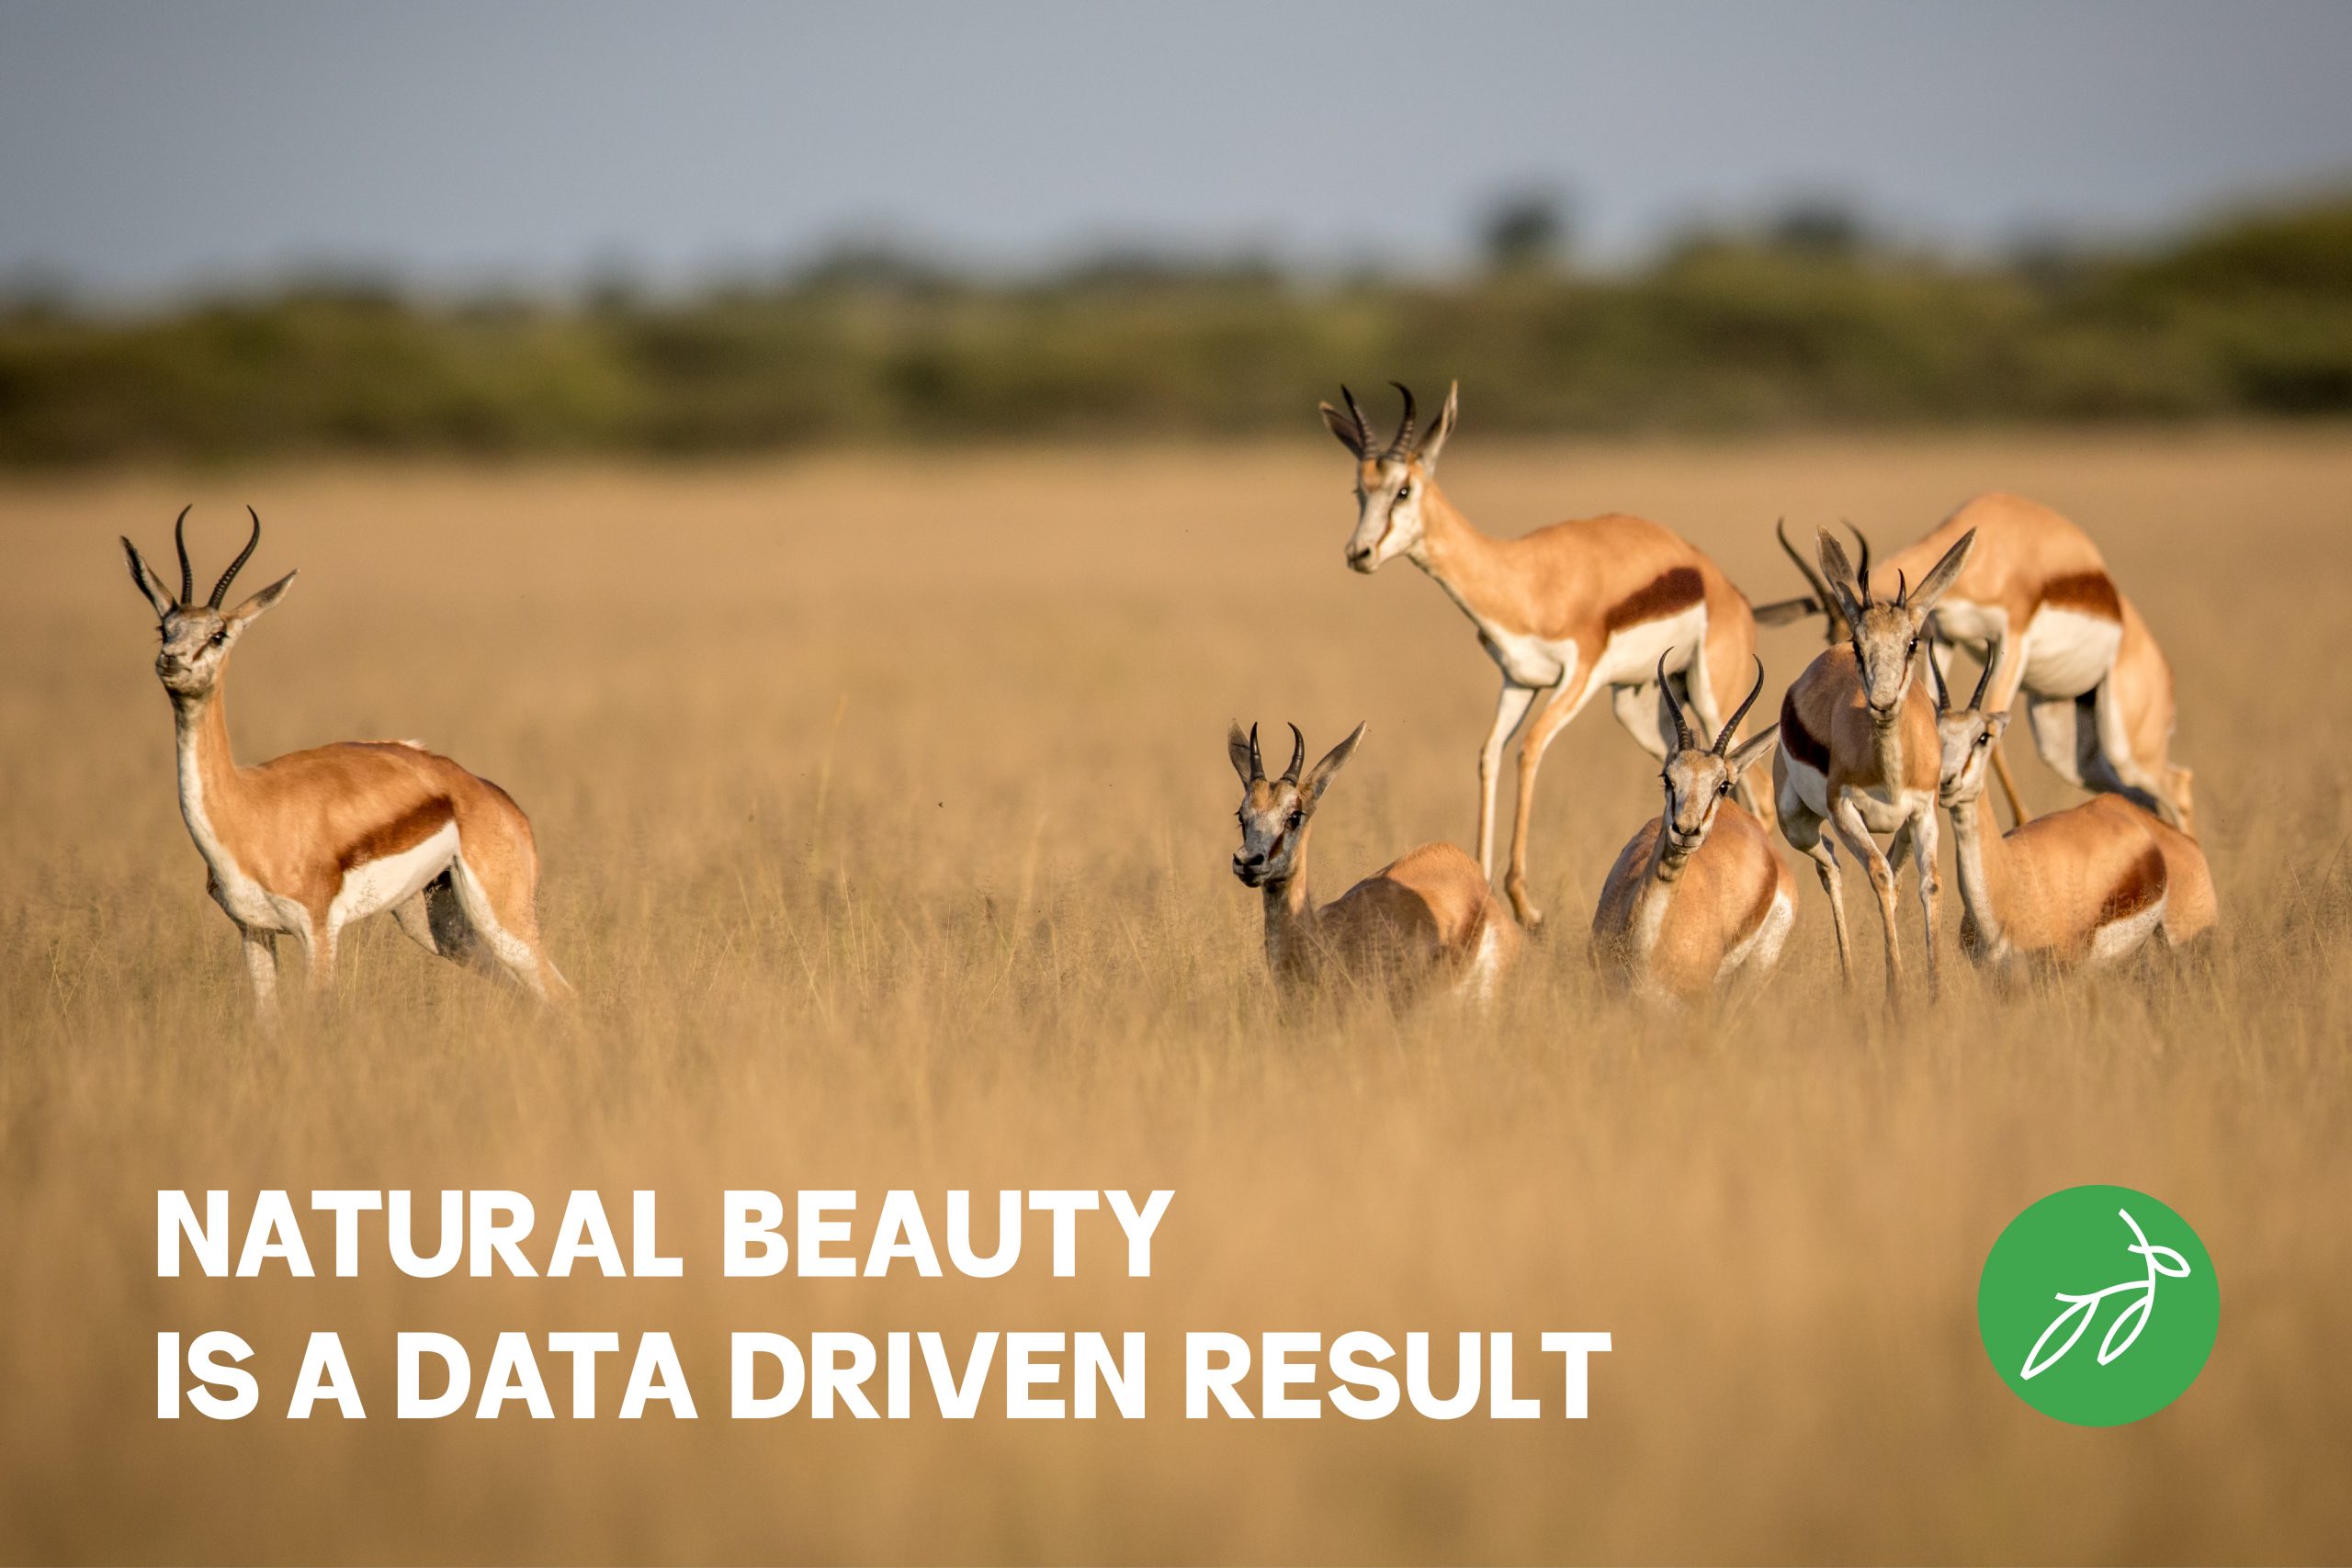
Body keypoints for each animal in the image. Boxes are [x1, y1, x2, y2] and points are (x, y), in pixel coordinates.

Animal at [121, 508, 571, 1015]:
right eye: (164, 628)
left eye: (218, 634)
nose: (171, 661)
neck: (246, 808)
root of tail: (490, 794)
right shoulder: (253, 932)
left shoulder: (317, 933)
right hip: (436, 926)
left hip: (502, 921)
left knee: (561, 993)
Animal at [1320, 381, 1761, 931]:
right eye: (1360, 492)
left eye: (1404, 490)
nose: (1359, 554)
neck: (1524, 576)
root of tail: (1724, 587)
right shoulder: (1518, 681)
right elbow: (1490, 755)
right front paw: (1481, 887)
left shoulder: (1578, 675)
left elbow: (1529, 750)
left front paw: (1526, 904)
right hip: (1637, 705)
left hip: (1715, 697)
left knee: (1759, 787)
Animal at [1756, 493, 2191, 830]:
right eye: (1849, 640)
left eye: (1907, 643)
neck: (1991, 550)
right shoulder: (1945, 637)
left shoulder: (2012, 639)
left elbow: (1993, 729)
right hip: (2067, 746)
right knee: (2144, 795)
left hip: (2125, 747)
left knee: (2177, 785)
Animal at [1772, 526, 1975, 1003]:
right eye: (1859, 644)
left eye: (1912, 642)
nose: (1881, 703)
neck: (1889, 773)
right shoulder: (1844, 812)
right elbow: (1878, 875)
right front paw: (1895, 996)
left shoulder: (1923, 813)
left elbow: (1929, 883)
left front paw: (1934, 996)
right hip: (1799, 825)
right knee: (1830, 867)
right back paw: (1848, 984)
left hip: (1898, 829)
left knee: (1886, 876)